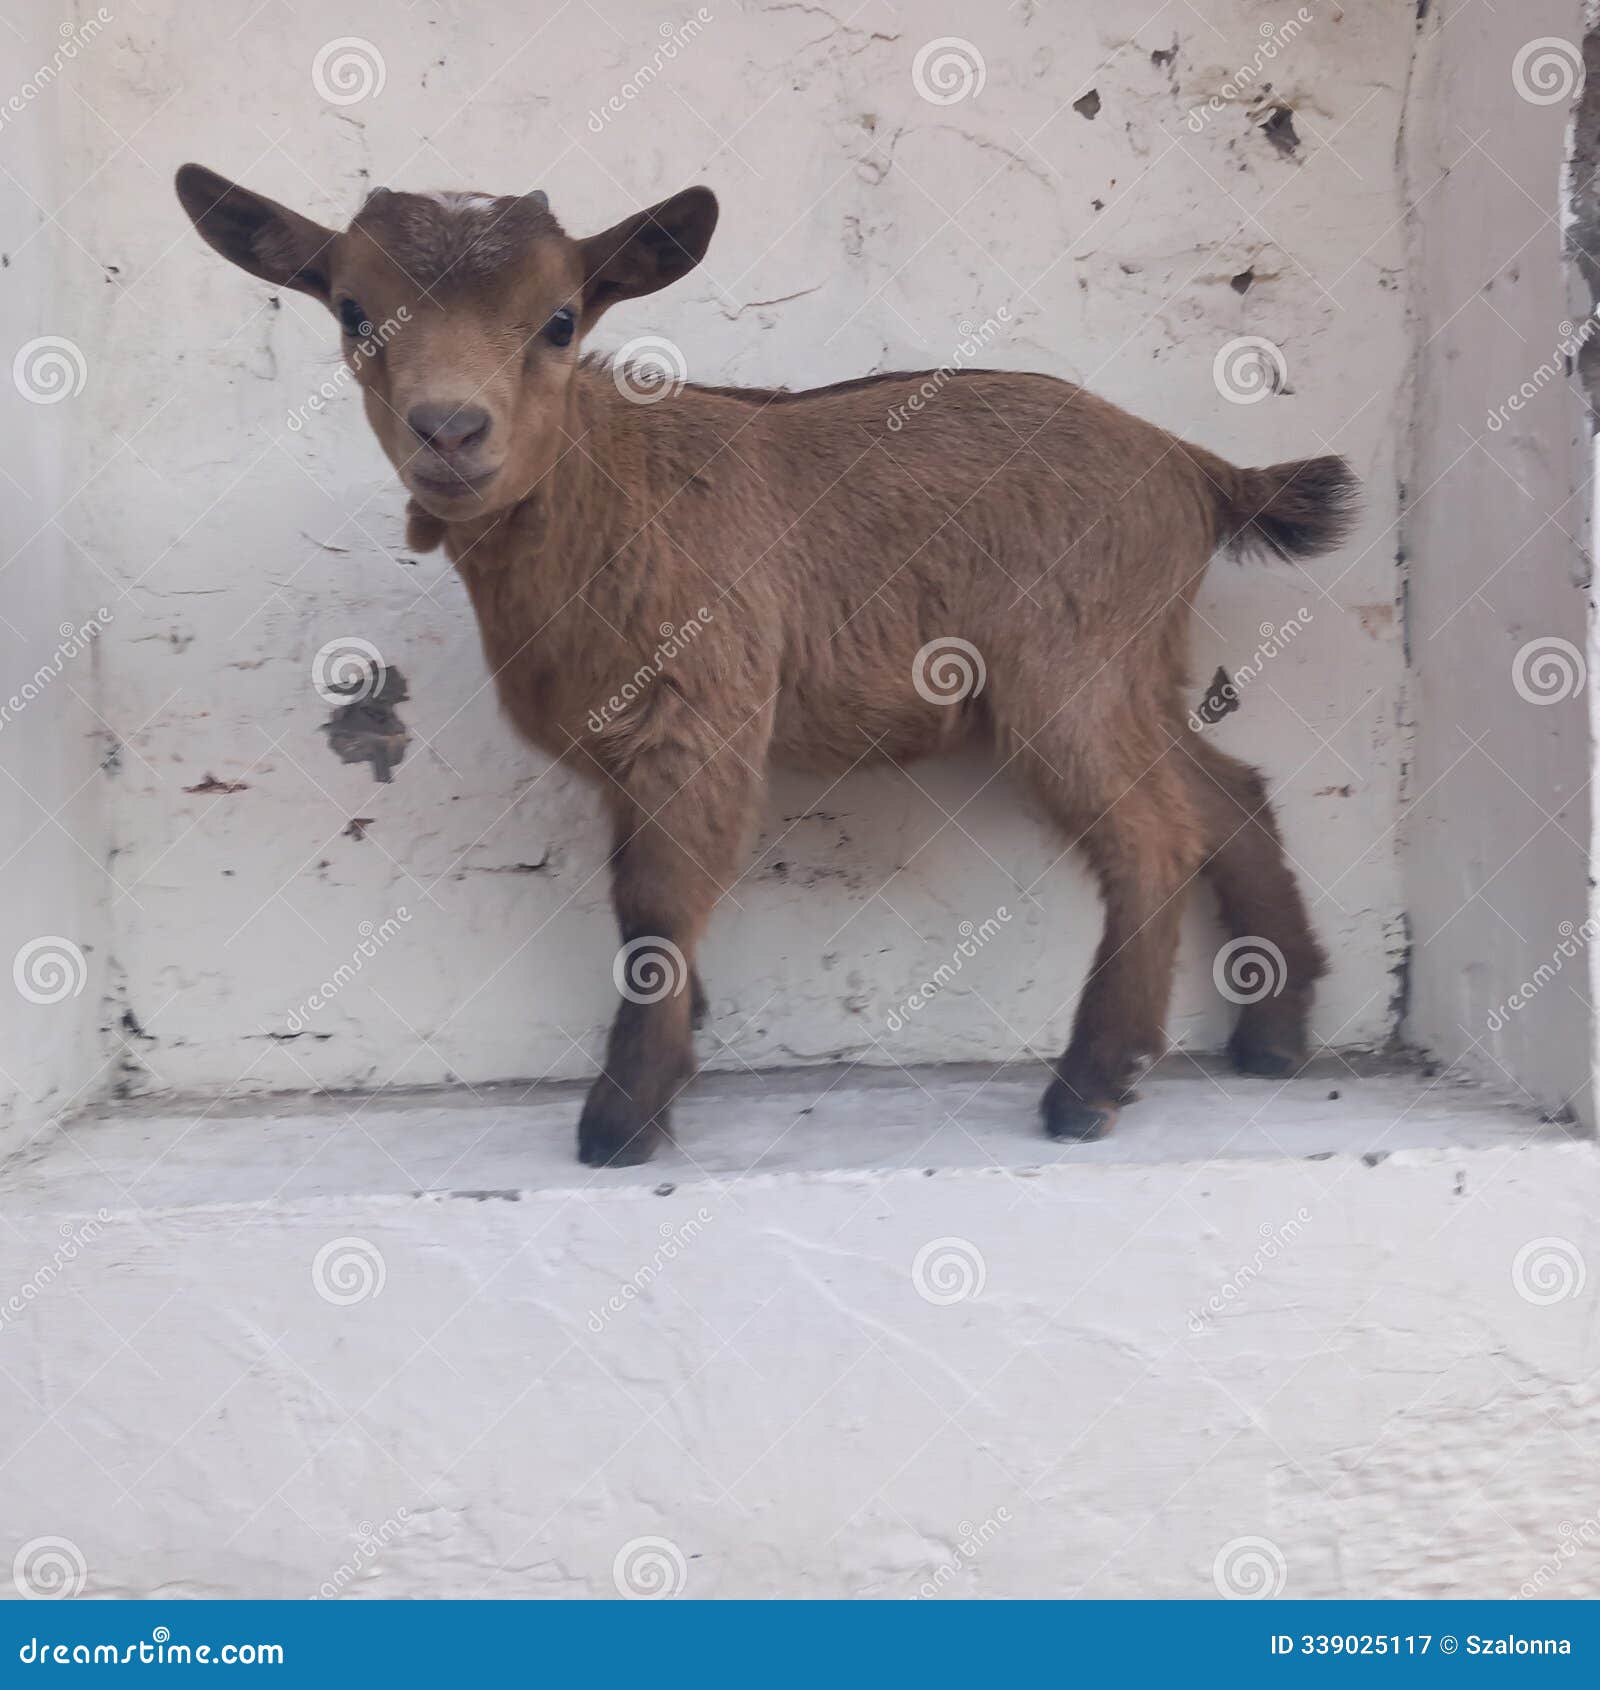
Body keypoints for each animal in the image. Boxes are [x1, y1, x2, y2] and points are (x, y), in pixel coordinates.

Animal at [175, 167, 1357, 1166]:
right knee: (1225, 794)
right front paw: (678, 1048)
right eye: (351, 312)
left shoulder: (701, 706)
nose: (451, 431)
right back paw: (1274, 1029)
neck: (612, 488)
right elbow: (635, 897)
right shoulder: (620, 745)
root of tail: (1194, 468)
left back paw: (1092, 1085)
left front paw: (625, 1116)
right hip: (1135, 667)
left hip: (1069, 668)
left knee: (1153, 833)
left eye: (560, 318)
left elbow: (658, 897)